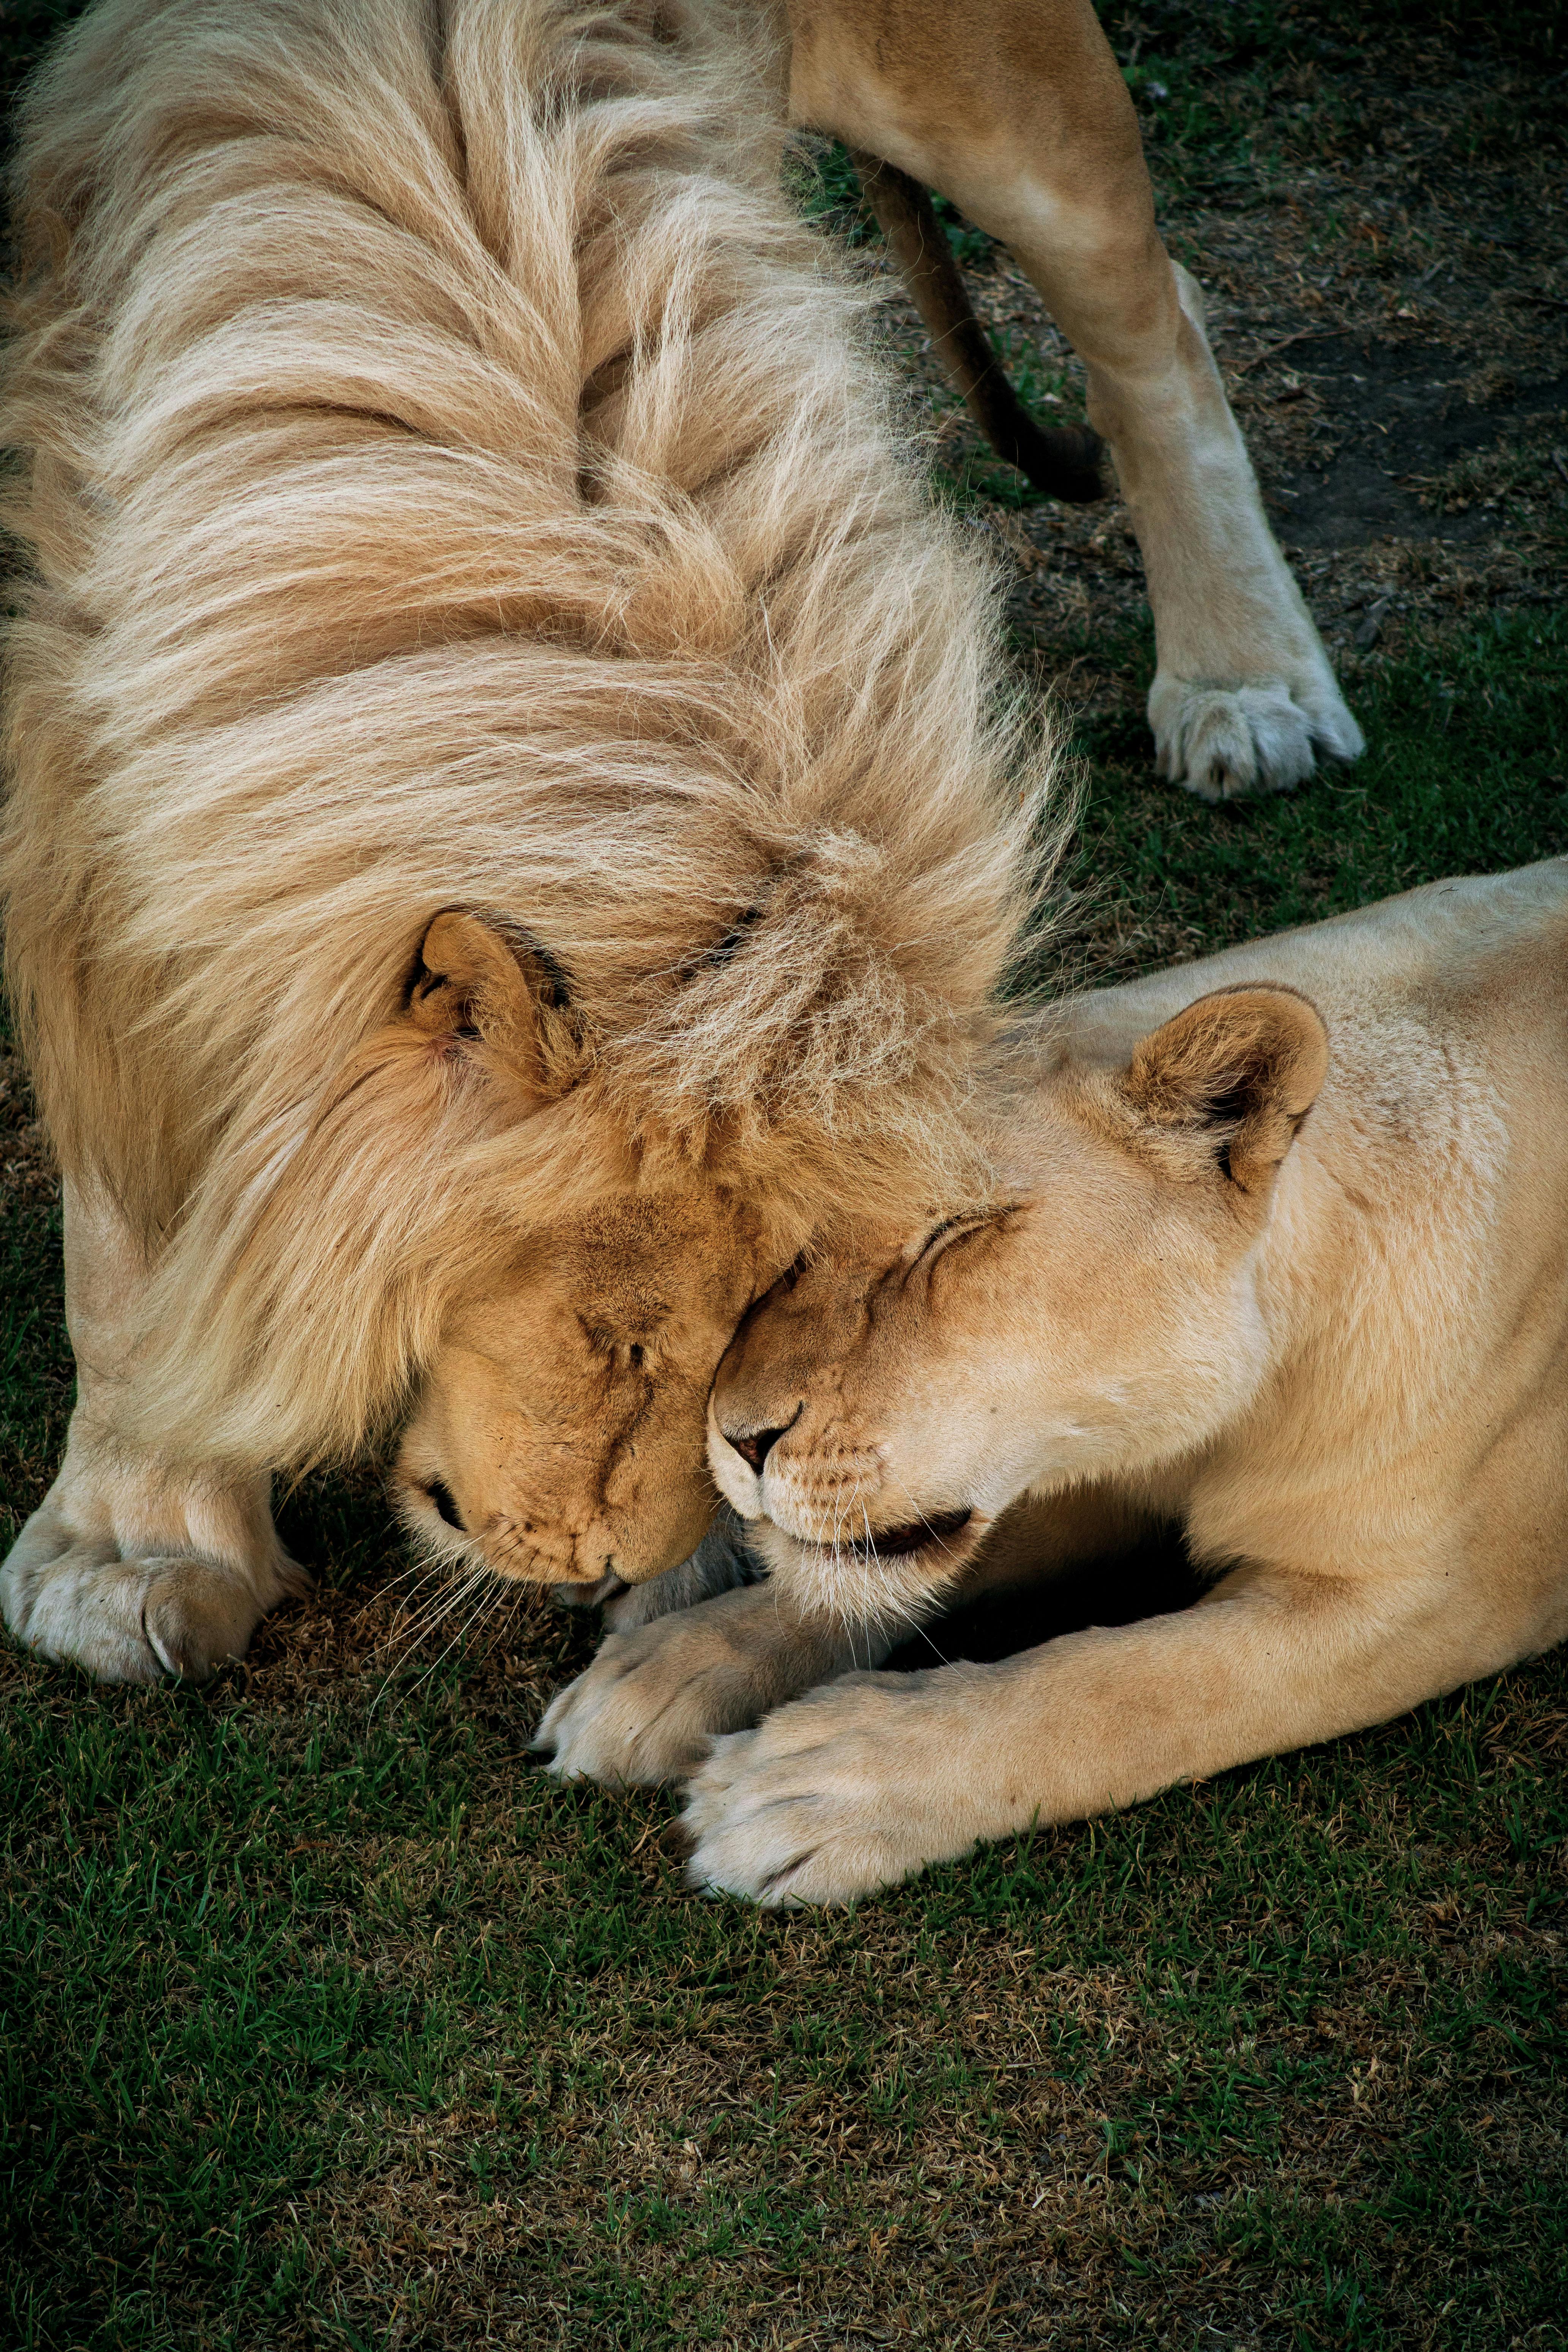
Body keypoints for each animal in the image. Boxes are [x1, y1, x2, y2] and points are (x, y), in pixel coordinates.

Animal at [533, 862, 1568, 1904]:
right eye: (800, 1235)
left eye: (952, 1232)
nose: (738, 1437)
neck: (1236, 1415)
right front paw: (671, 1670)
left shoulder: (1432, 1597)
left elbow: (1130, 1681)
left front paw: (817, 1781)